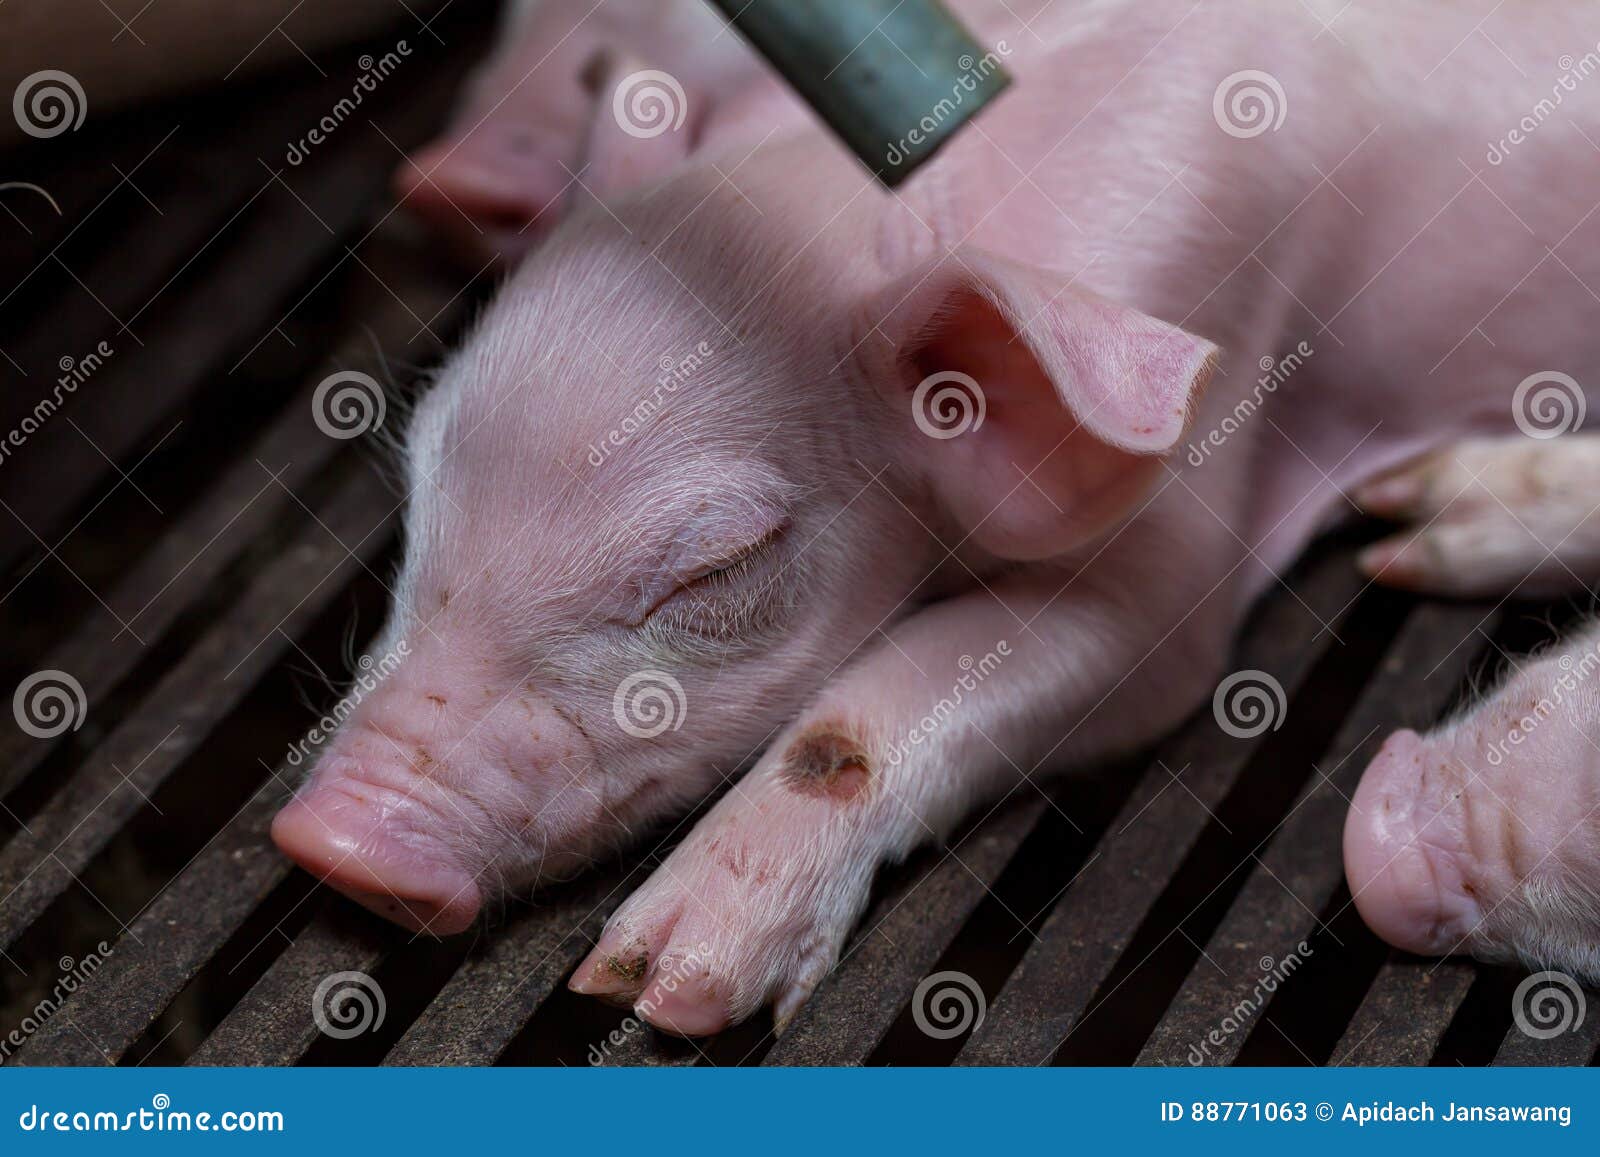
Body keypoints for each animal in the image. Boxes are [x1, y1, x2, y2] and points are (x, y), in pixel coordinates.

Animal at [271, 0, 1600, 1036]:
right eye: (421, 478)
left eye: (718, 569)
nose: (336, 841)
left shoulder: (1186, 524)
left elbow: (1020, 656)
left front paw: (658, 987)